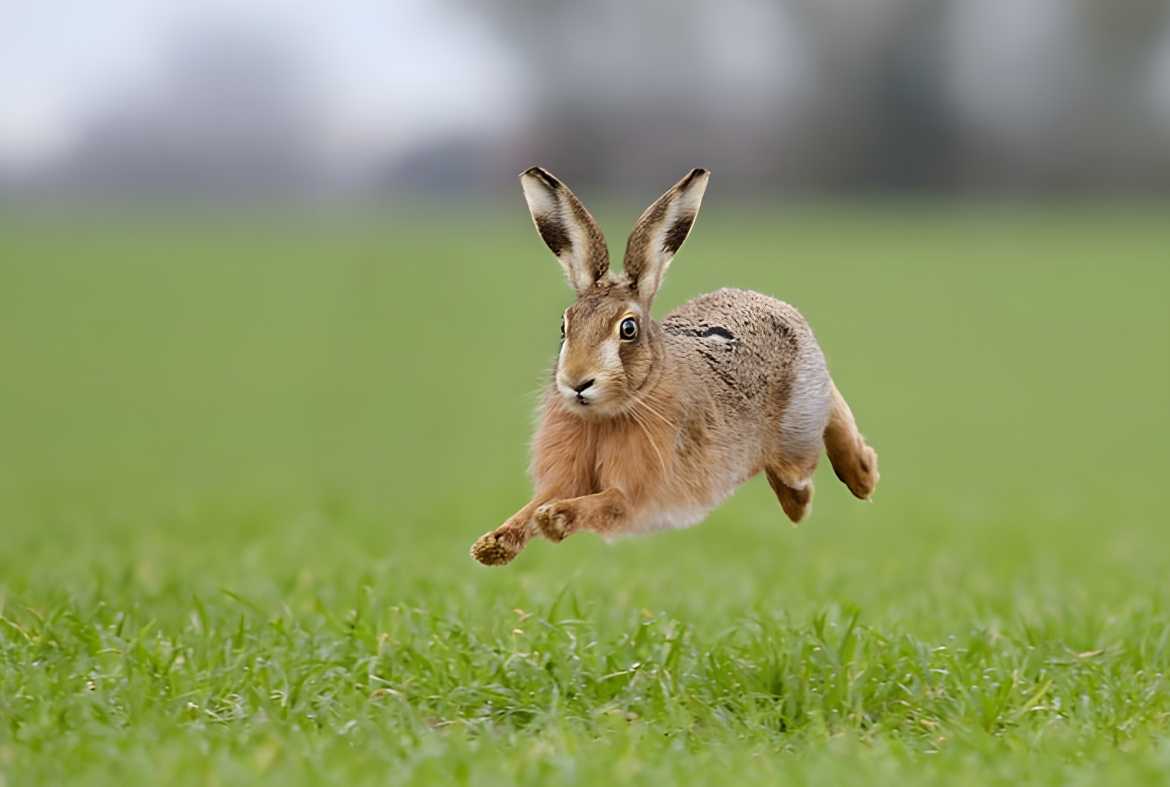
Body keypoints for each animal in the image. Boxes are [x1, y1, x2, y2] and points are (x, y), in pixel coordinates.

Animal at [470, 167, 878, 566]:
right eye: (564, 325)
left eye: (628, 328)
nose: (577, 382)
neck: (612, 413)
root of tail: (778, 306)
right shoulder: (564, 478)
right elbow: (533, 505)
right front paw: (493, 544)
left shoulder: (633, 495)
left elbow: (603, 504)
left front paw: (554, 518)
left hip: (799, 432)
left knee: (813, 443)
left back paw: (859, 477)